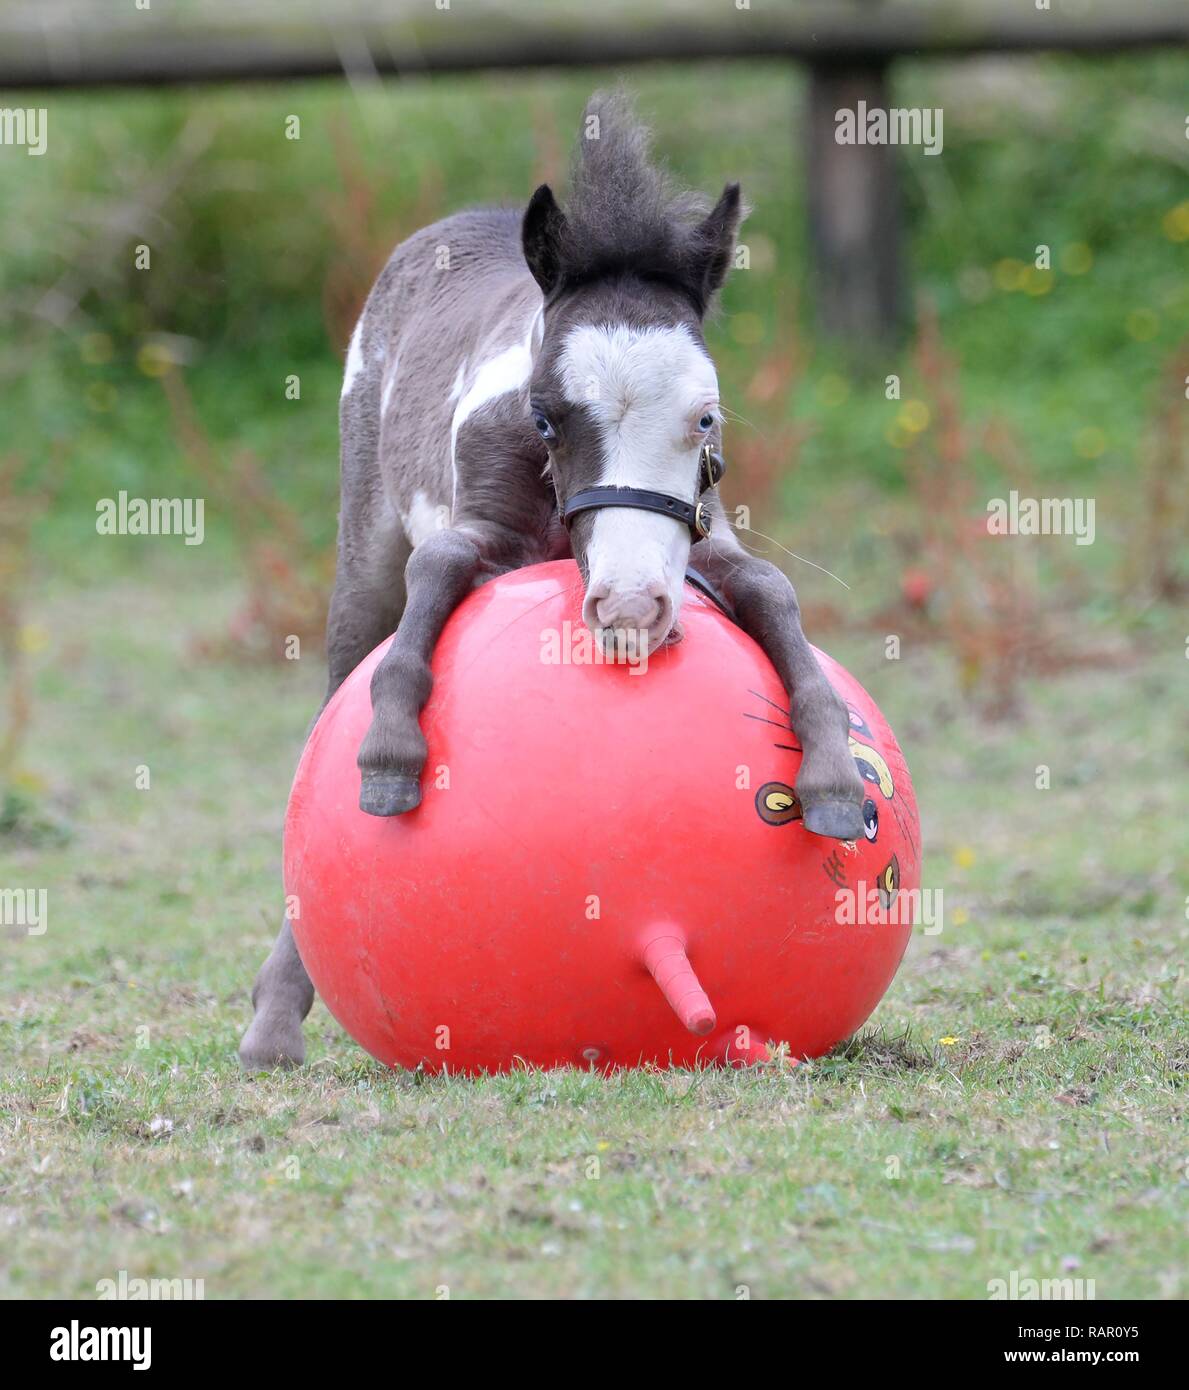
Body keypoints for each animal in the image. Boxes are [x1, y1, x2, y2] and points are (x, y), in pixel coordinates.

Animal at [239, 92, 866, 1070]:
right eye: (543, 415)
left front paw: (835, 775)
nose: (631, 607)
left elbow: (770, 588)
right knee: (334, 686)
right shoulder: (474, 529)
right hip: (361, 548)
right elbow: (436, 571)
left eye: (706, 418)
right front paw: (389, 757)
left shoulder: (703, 536)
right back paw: (274, 1017)